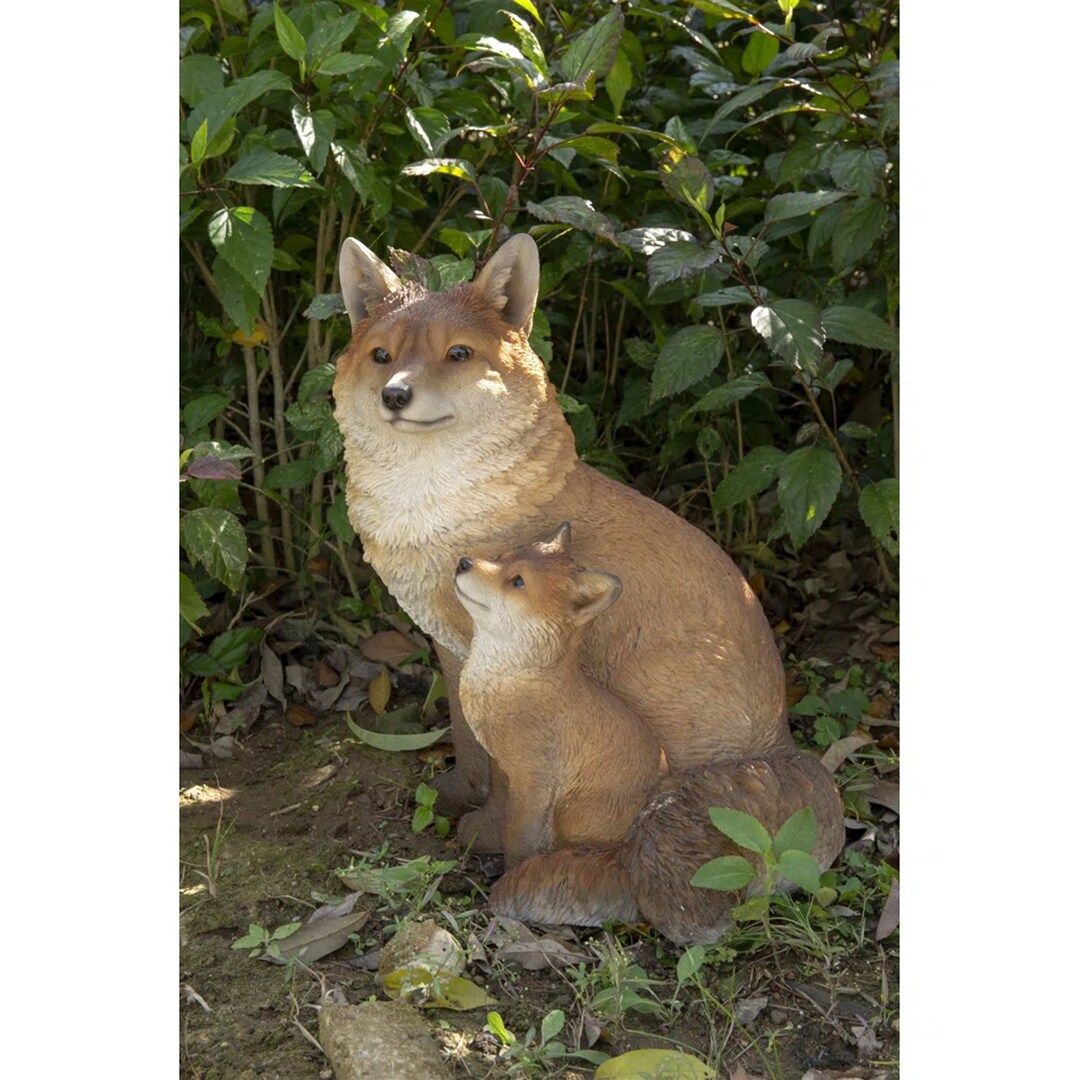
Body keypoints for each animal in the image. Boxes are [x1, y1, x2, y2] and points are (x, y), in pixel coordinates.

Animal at [453, 523, 668, 867]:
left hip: (573, 814)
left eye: (517, 582)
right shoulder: (502, 764)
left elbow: (516, 836)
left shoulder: (535, 780)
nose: (463, 562)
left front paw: (513, 873)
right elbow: (497, 809)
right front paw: (480, 838)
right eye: (500, 557)